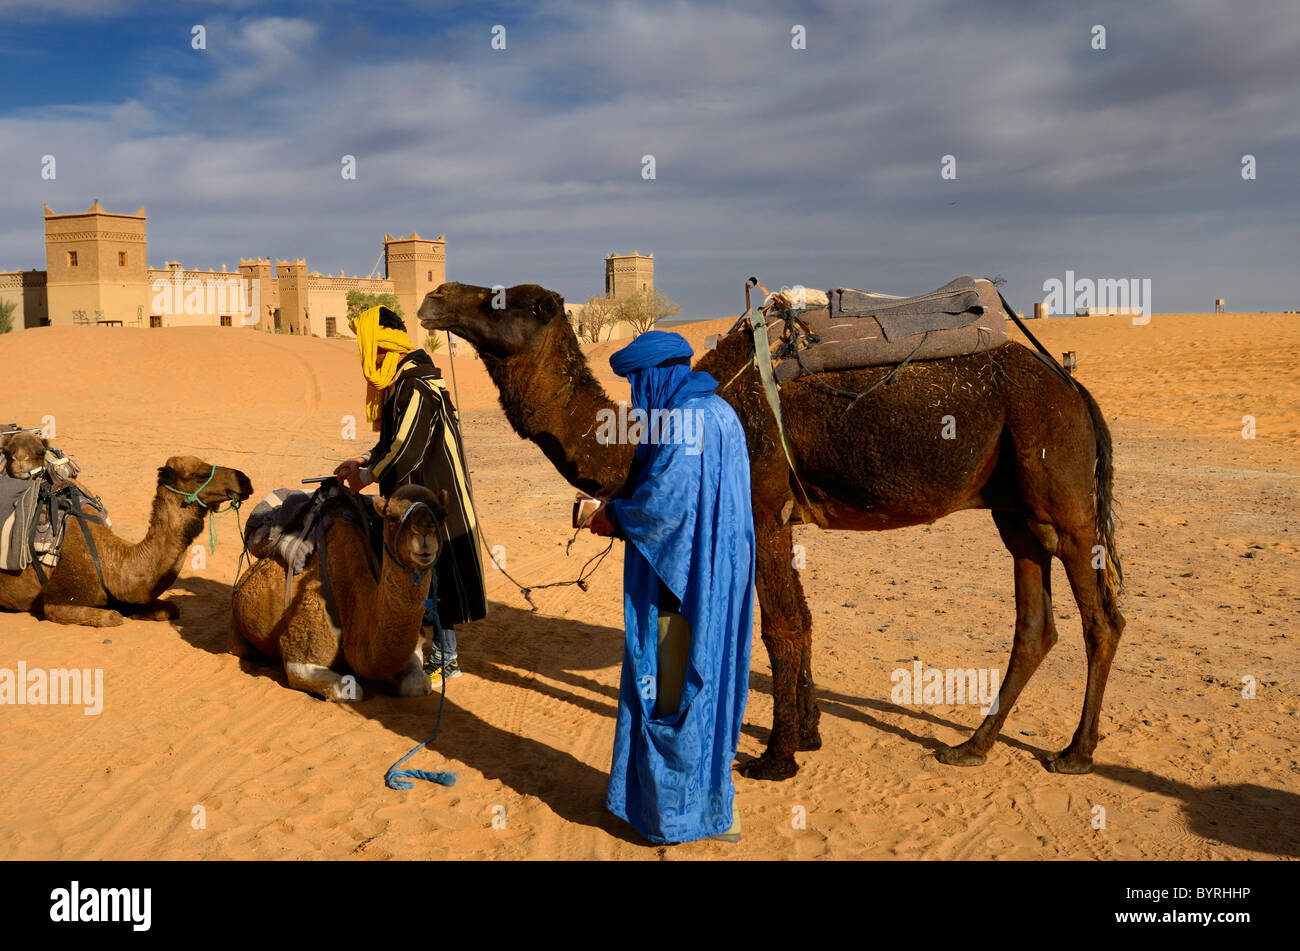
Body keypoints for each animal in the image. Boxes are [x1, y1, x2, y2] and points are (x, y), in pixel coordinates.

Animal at [0, 455, 253, 627]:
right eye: (199, 475)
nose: (245, 479)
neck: (110, 561)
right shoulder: (56, 601)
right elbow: (113, 618)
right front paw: (116, 614)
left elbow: (169, 609)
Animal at [228, 484, 450, 702]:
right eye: (393, 517)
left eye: (441, 515)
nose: (424, 537)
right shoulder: (301, 655)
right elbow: (353, 692)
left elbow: (419, 685)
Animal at [418, 281, 1126, 780]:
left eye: (511, 301)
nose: (434, 297)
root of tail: (1075, 390)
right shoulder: (785, 513)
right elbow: (804, 620)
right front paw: (806, 733)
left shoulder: (763, 505)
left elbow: (782, 627)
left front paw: (776, 758)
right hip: (1015, 508)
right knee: (1035, 624)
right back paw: (972, 746)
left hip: (1062, 492)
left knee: (1102, 618)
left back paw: (1076, 752)